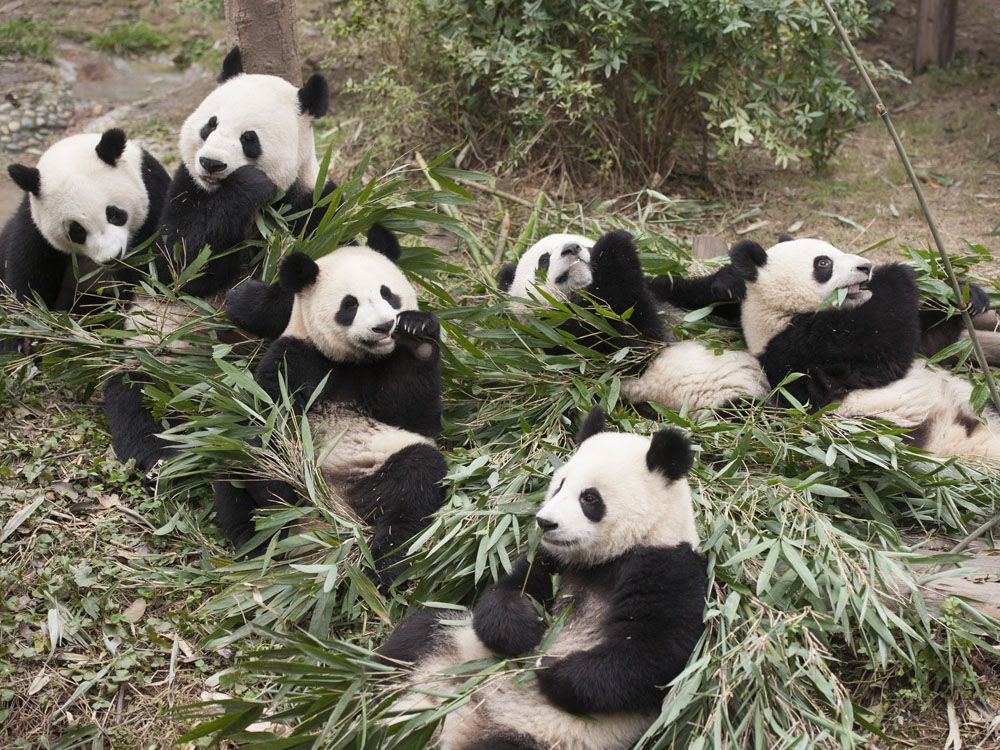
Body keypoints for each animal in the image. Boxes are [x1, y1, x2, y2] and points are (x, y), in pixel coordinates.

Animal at [0, 128, 169, 313]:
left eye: (114, 214)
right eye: (77, 231)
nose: (113, 257)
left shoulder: (153, 194)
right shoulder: (33, 227)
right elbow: (28, 274)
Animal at [212, 234, 446, 586]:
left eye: (388, 294)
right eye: (350, 305)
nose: (383, 326)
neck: (353, 361)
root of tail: (336, 511)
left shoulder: (389, 378)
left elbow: (417, 413)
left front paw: (416, 334)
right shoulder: (297, 355)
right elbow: (269, 418)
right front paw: (279, 487)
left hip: (382, 463)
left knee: (414, 483)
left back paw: (380, 563)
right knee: (235, 474)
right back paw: (262, 542)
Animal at [379, 408, 707, 750]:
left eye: (590, 498)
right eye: (560, 485)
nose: (545, 522)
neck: (605, 559)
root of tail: (454, 721)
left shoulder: (668, 568)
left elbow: (654, 655)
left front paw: (550, 671)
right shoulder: (552, 560)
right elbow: (507, 593)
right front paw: (525, 632)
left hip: (538, 736)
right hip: (454, 641)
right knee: (414, 639)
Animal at [498, 230, 768, 410]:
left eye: (585, 246)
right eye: (543, 260)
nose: (572, 248)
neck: (584, 294)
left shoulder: (662, 294)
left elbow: (690, 295)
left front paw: (728, 284)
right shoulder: (567, 340)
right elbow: (635, 344)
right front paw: (614, 242)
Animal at [731, 237, 1000, 462]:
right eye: (823, 262)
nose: (866, 267)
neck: (777, 315)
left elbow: (928, 343)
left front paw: (967, 294)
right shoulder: (803, 351)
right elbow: (882, 351)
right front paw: (898, 271)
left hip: (977, 401)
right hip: (889, 433)